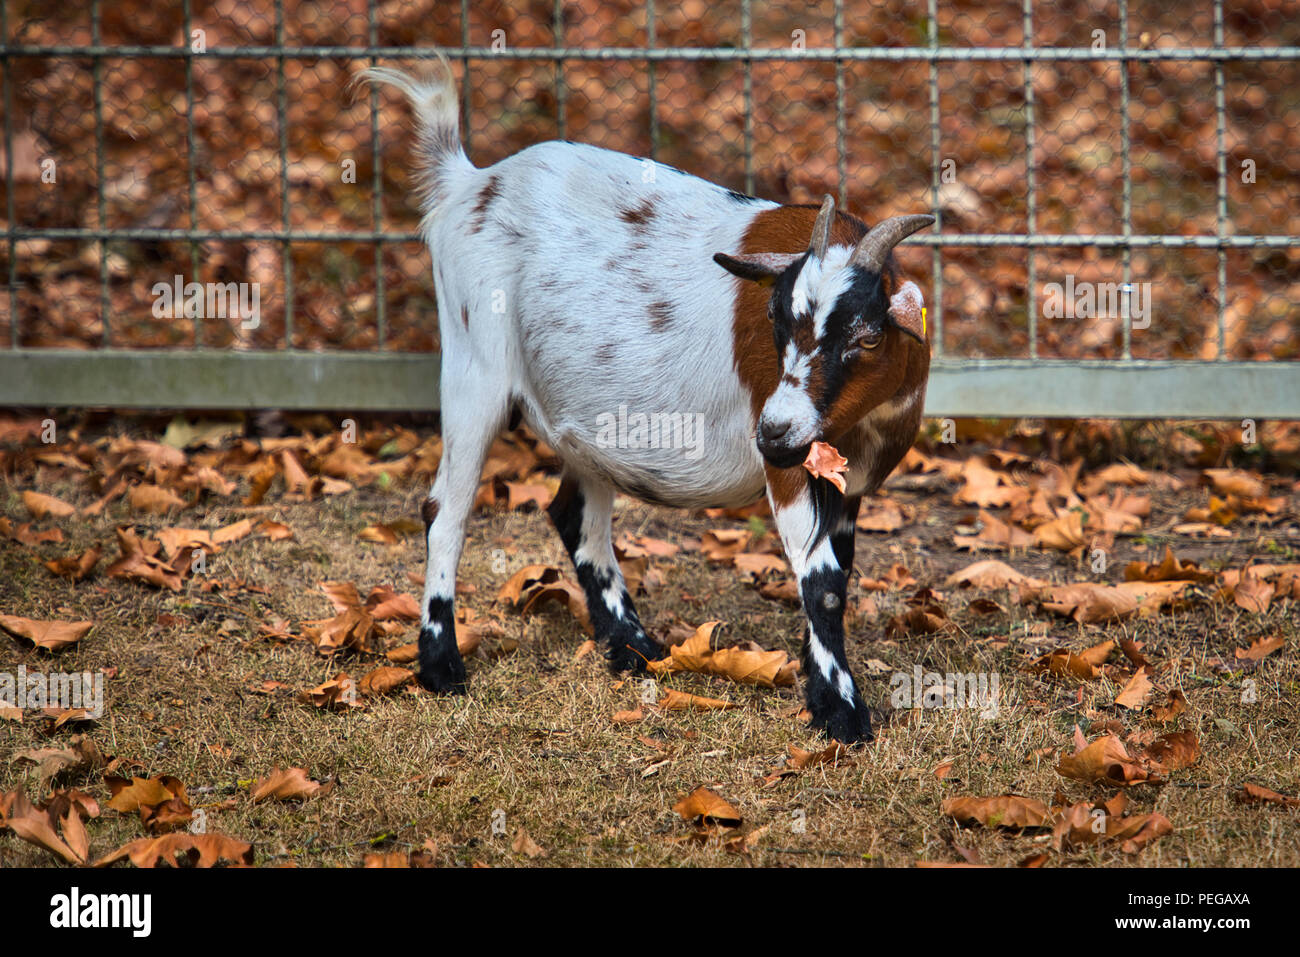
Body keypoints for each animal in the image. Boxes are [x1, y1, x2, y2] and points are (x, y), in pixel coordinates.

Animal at [362, 59, 933, 744]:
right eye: (772, 317)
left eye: (868, 336)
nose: (772, 433)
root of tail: (469, 182)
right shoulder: (789, 467)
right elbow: (820, 579)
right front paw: (841, 712)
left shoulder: (846, 478)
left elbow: (834, 573)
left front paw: (821, 687)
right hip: (474, 364)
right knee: (444, 508)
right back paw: (441, 664)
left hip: (585, 415)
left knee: (574, 513)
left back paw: (633, 648)